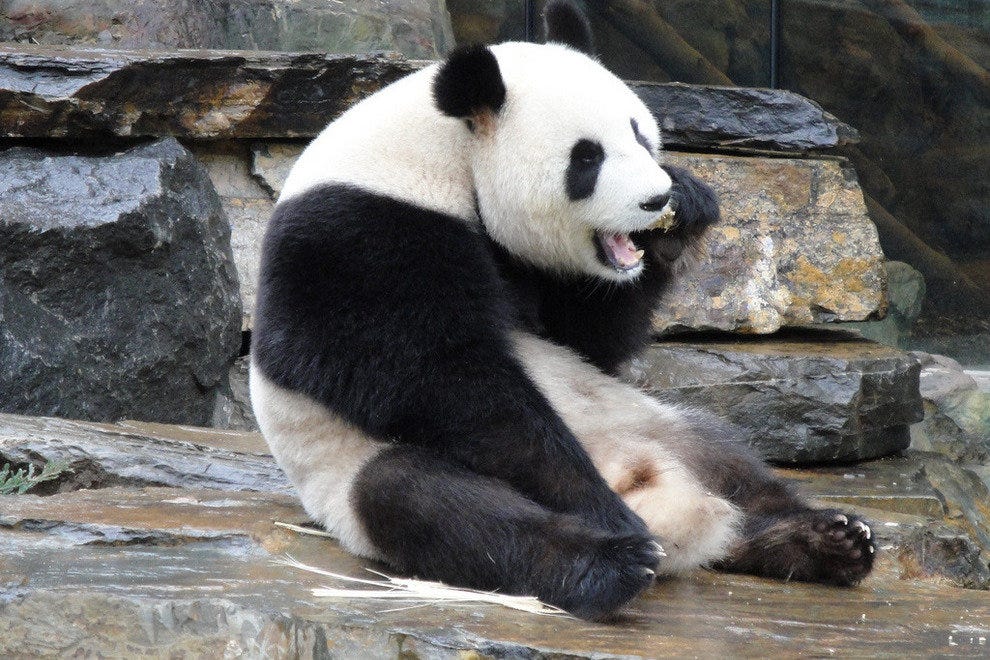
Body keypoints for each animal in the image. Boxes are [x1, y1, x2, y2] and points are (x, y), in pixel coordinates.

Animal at [250, 0, 875, 621]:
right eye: (587, 157)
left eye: (639, 135)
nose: (655, 199)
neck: (444, 152)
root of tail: (664, 500)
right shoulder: (360, 236)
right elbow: (438, 378)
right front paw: (599, 512)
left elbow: (587, 341)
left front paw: (685, 212)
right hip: (351, 473)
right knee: (435, 505)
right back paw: (612, 561)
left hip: (648, 419)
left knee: (727, 458)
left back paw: (823, 539)